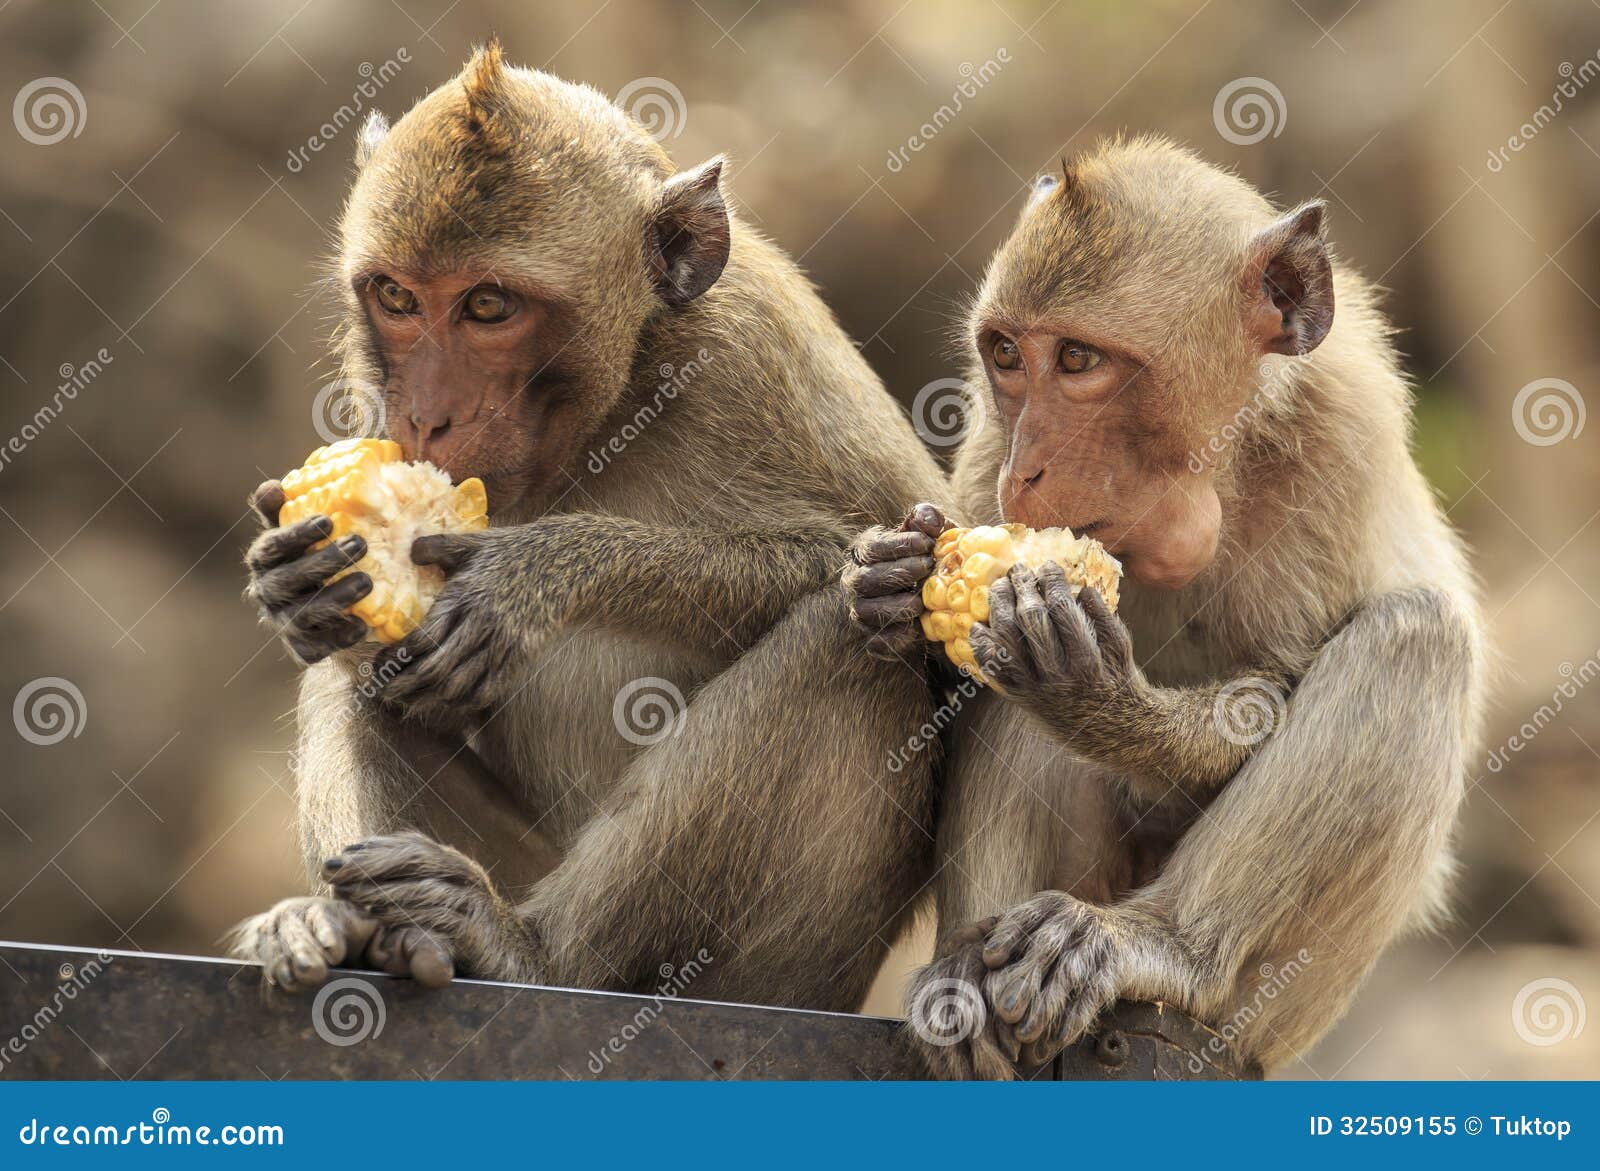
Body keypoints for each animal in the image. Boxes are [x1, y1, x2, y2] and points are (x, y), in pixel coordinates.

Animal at [231, 41, 953, 1013]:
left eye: (488, 306)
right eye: (395, 297)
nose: (426, 417)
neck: (620, 400)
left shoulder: (757, 358)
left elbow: (905, 573)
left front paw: (538, 574)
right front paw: (292, 586)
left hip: (776, 973)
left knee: (850, 646)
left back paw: (525, 948)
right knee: (352, 674)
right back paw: (355, 929)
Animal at [844, 137, 1484, 1078]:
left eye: (1078, 360)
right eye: (1006, 355)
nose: (1026, 470)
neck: (1212, 464)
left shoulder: (1342, 441)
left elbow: (1271, 689)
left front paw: (1095, 697)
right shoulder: (988, 439)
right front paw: (891, 583)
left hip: (1279, 1007)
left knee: (1414, 640)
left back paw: (1158, 943)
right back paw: (966, 967)